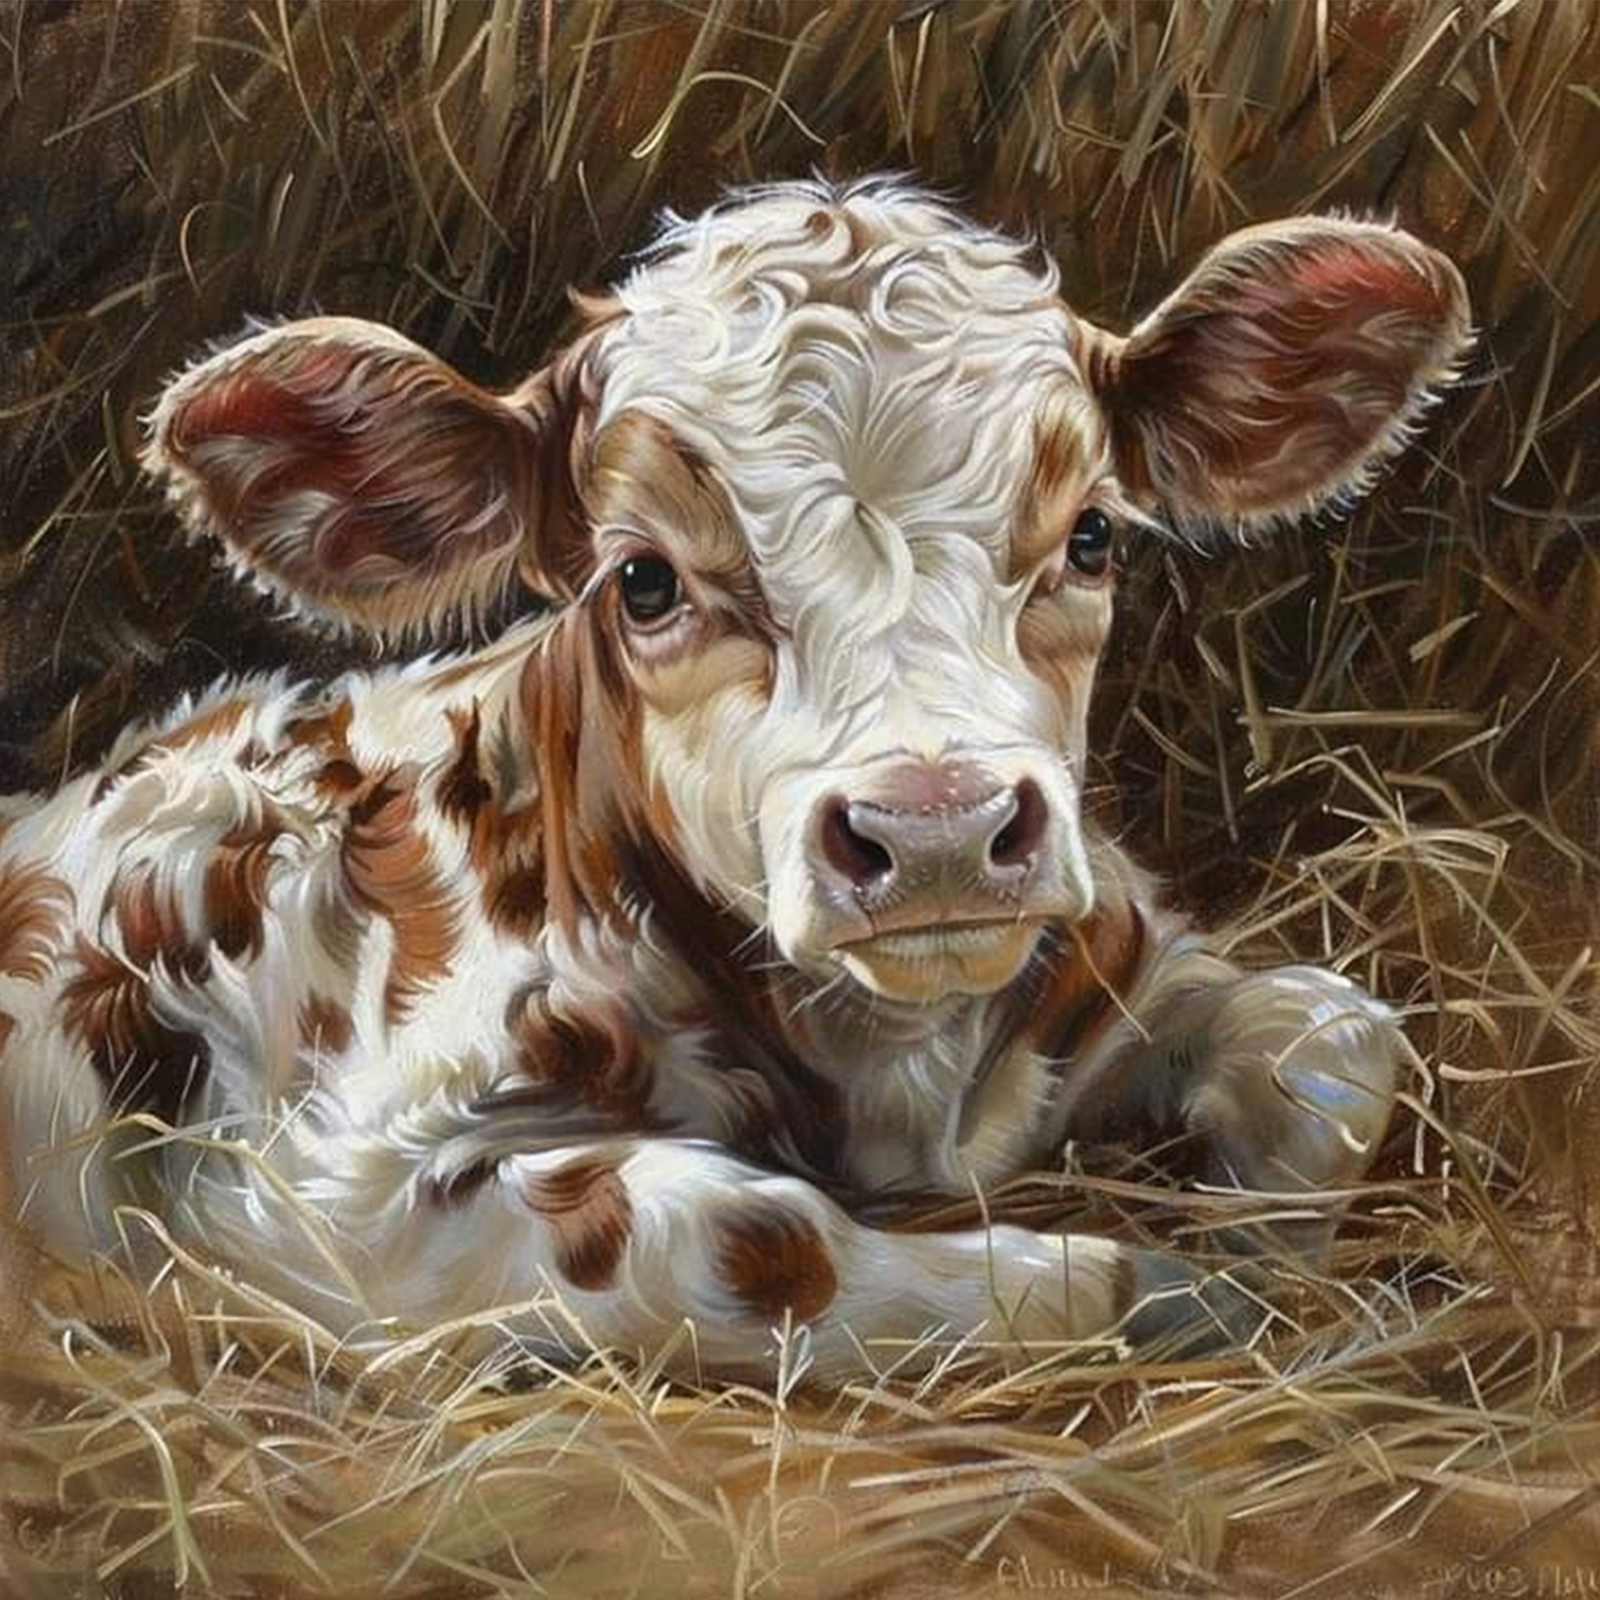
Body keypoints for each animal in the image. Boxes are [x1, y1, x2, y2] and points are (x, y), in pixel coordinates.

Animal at [0, 179, 1469, 1381]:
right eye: (645, 580)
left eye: (1092, 536)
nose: (937, 832)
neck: (891, 1077)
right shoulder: (314, 1196)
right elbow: (749, 1233)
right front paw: (1169, 1289)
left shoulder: (1113, 963)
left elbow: (1336, 1037)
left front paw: (1265, 1237)